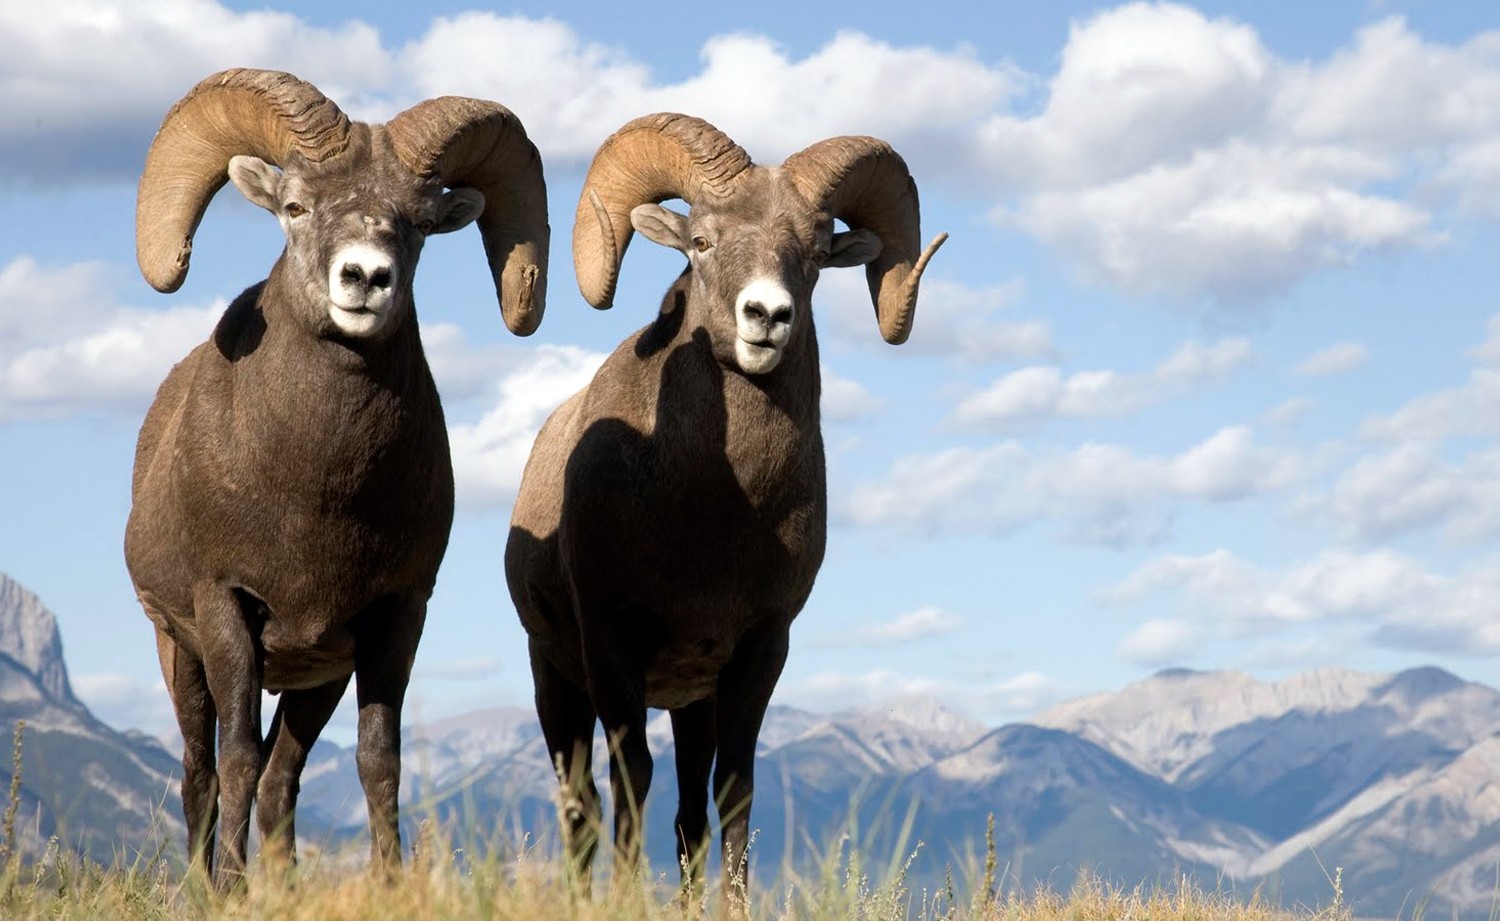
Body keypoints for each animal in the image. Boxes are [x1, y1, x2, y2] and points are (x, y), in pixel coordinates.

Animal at [123, 68, 549, 886]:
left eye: (417, 225)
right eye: (295, 208)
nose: (365, 278)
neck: (317, 496)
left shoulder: (391, 618)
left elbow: (378, 761)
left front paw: (388, 881)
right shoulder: (224, 610)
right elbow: (234, 759)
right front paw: (231, 891)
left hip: (315, 679)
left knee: (282, 778)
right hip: (177, 652)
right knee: (200, 773)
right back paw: (204, 884)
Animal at [505, 112, 945, 896]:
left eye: (813, 254)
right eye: (703, 241)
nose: (767, 316)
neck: (714, 519)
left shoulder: (757, 652)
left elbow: (731, 792)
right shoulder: (611, 643)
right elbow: (630, 778)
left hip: (689, 706)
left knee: (686, 816)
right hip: (556, 680)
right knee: (581, 805)